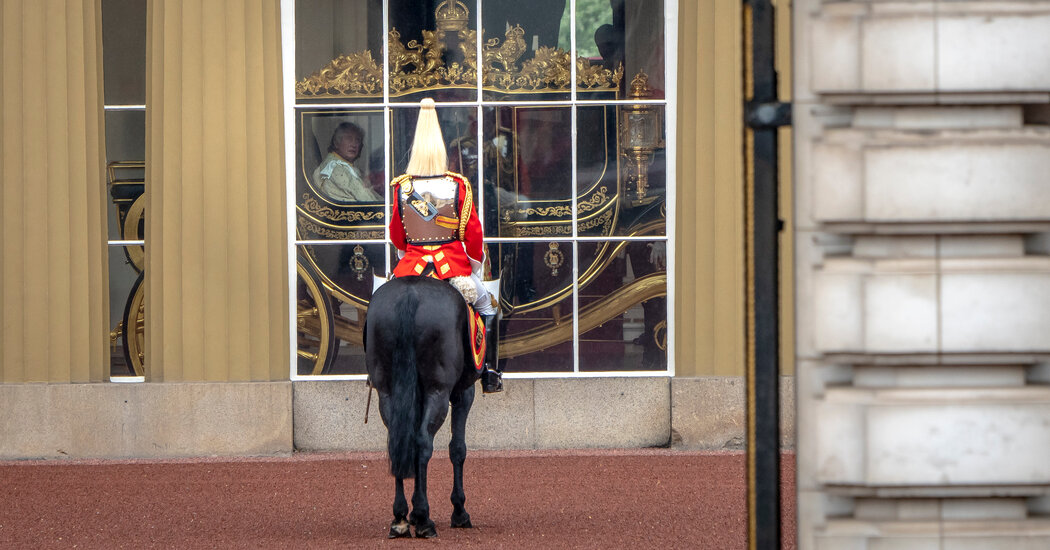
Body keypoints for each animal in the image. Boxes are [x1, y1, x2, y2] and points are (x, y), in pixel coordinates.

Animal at [361, 275, 476, 537]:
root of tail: (410, 294)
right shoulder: (463, 394)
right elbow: (458, 449)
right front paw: (459, 511)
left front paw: (411, 513)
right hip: (438, 392)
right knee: (424, 442)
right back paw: (424, 519)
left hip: (389, 392)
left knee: (397, 442)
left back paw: (401, 518)